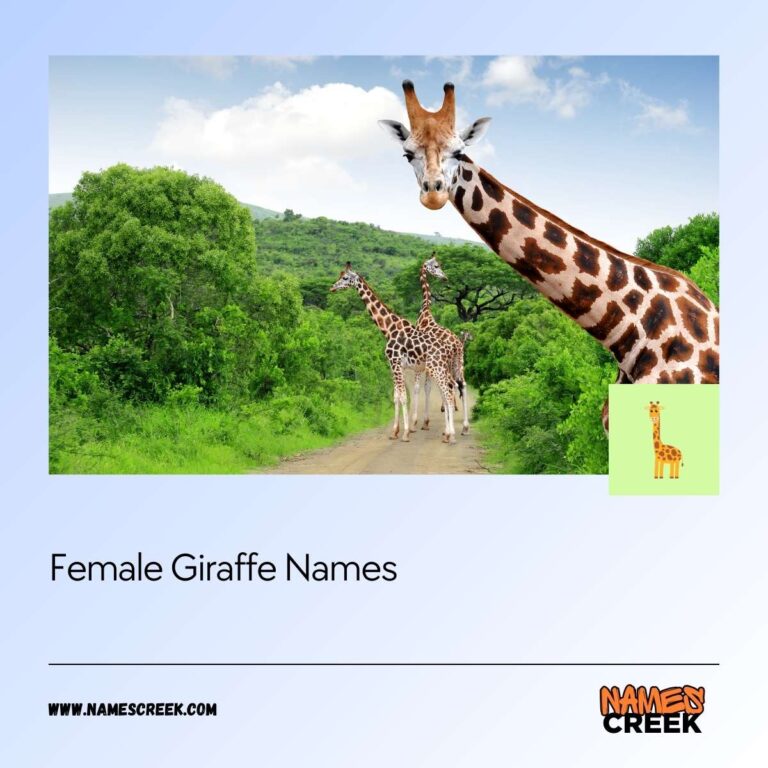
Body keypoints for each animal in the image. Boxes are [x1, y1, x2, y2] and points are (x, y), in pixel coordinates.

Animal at [330, 263, 459, 443]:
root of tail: (453, 346)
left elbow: (403, 396)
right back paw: (449, 433)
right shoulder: (397, 366)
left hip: (437, 368)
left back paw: (450, 434)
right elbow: (396, 396)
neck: (389, 329)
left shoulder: (395, 363)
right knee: (451, 389)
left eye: (345, 277)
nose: (332, 287)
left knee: (447, 393)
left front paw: (405, 433)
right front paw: (395, 432)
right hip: (442, 368)